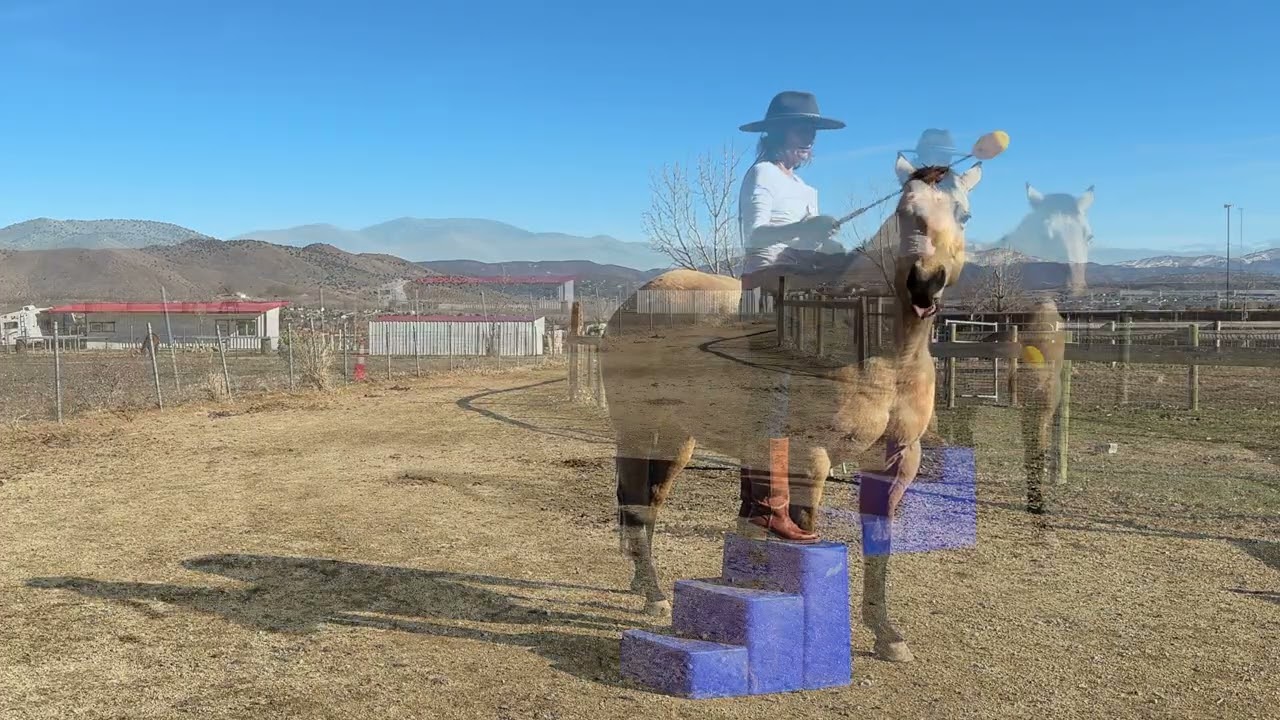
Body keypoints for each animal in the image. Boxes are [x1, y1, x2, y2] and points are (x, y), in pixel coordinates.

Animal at [600, 158, 978, 663]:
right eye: (904, 212)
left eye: (963, 214)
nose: (925, 282)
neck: (879, 352)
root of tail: (627, 306)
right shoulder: (809, 458)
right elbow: (803, 536)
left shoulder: (897, 458)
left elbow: (878, 547)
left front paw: (886, 634)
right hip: (639, 428)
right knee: (637, 503)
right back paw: (654, 591)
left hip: (678, 438)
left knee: (650, 503)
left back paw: (646, 589)